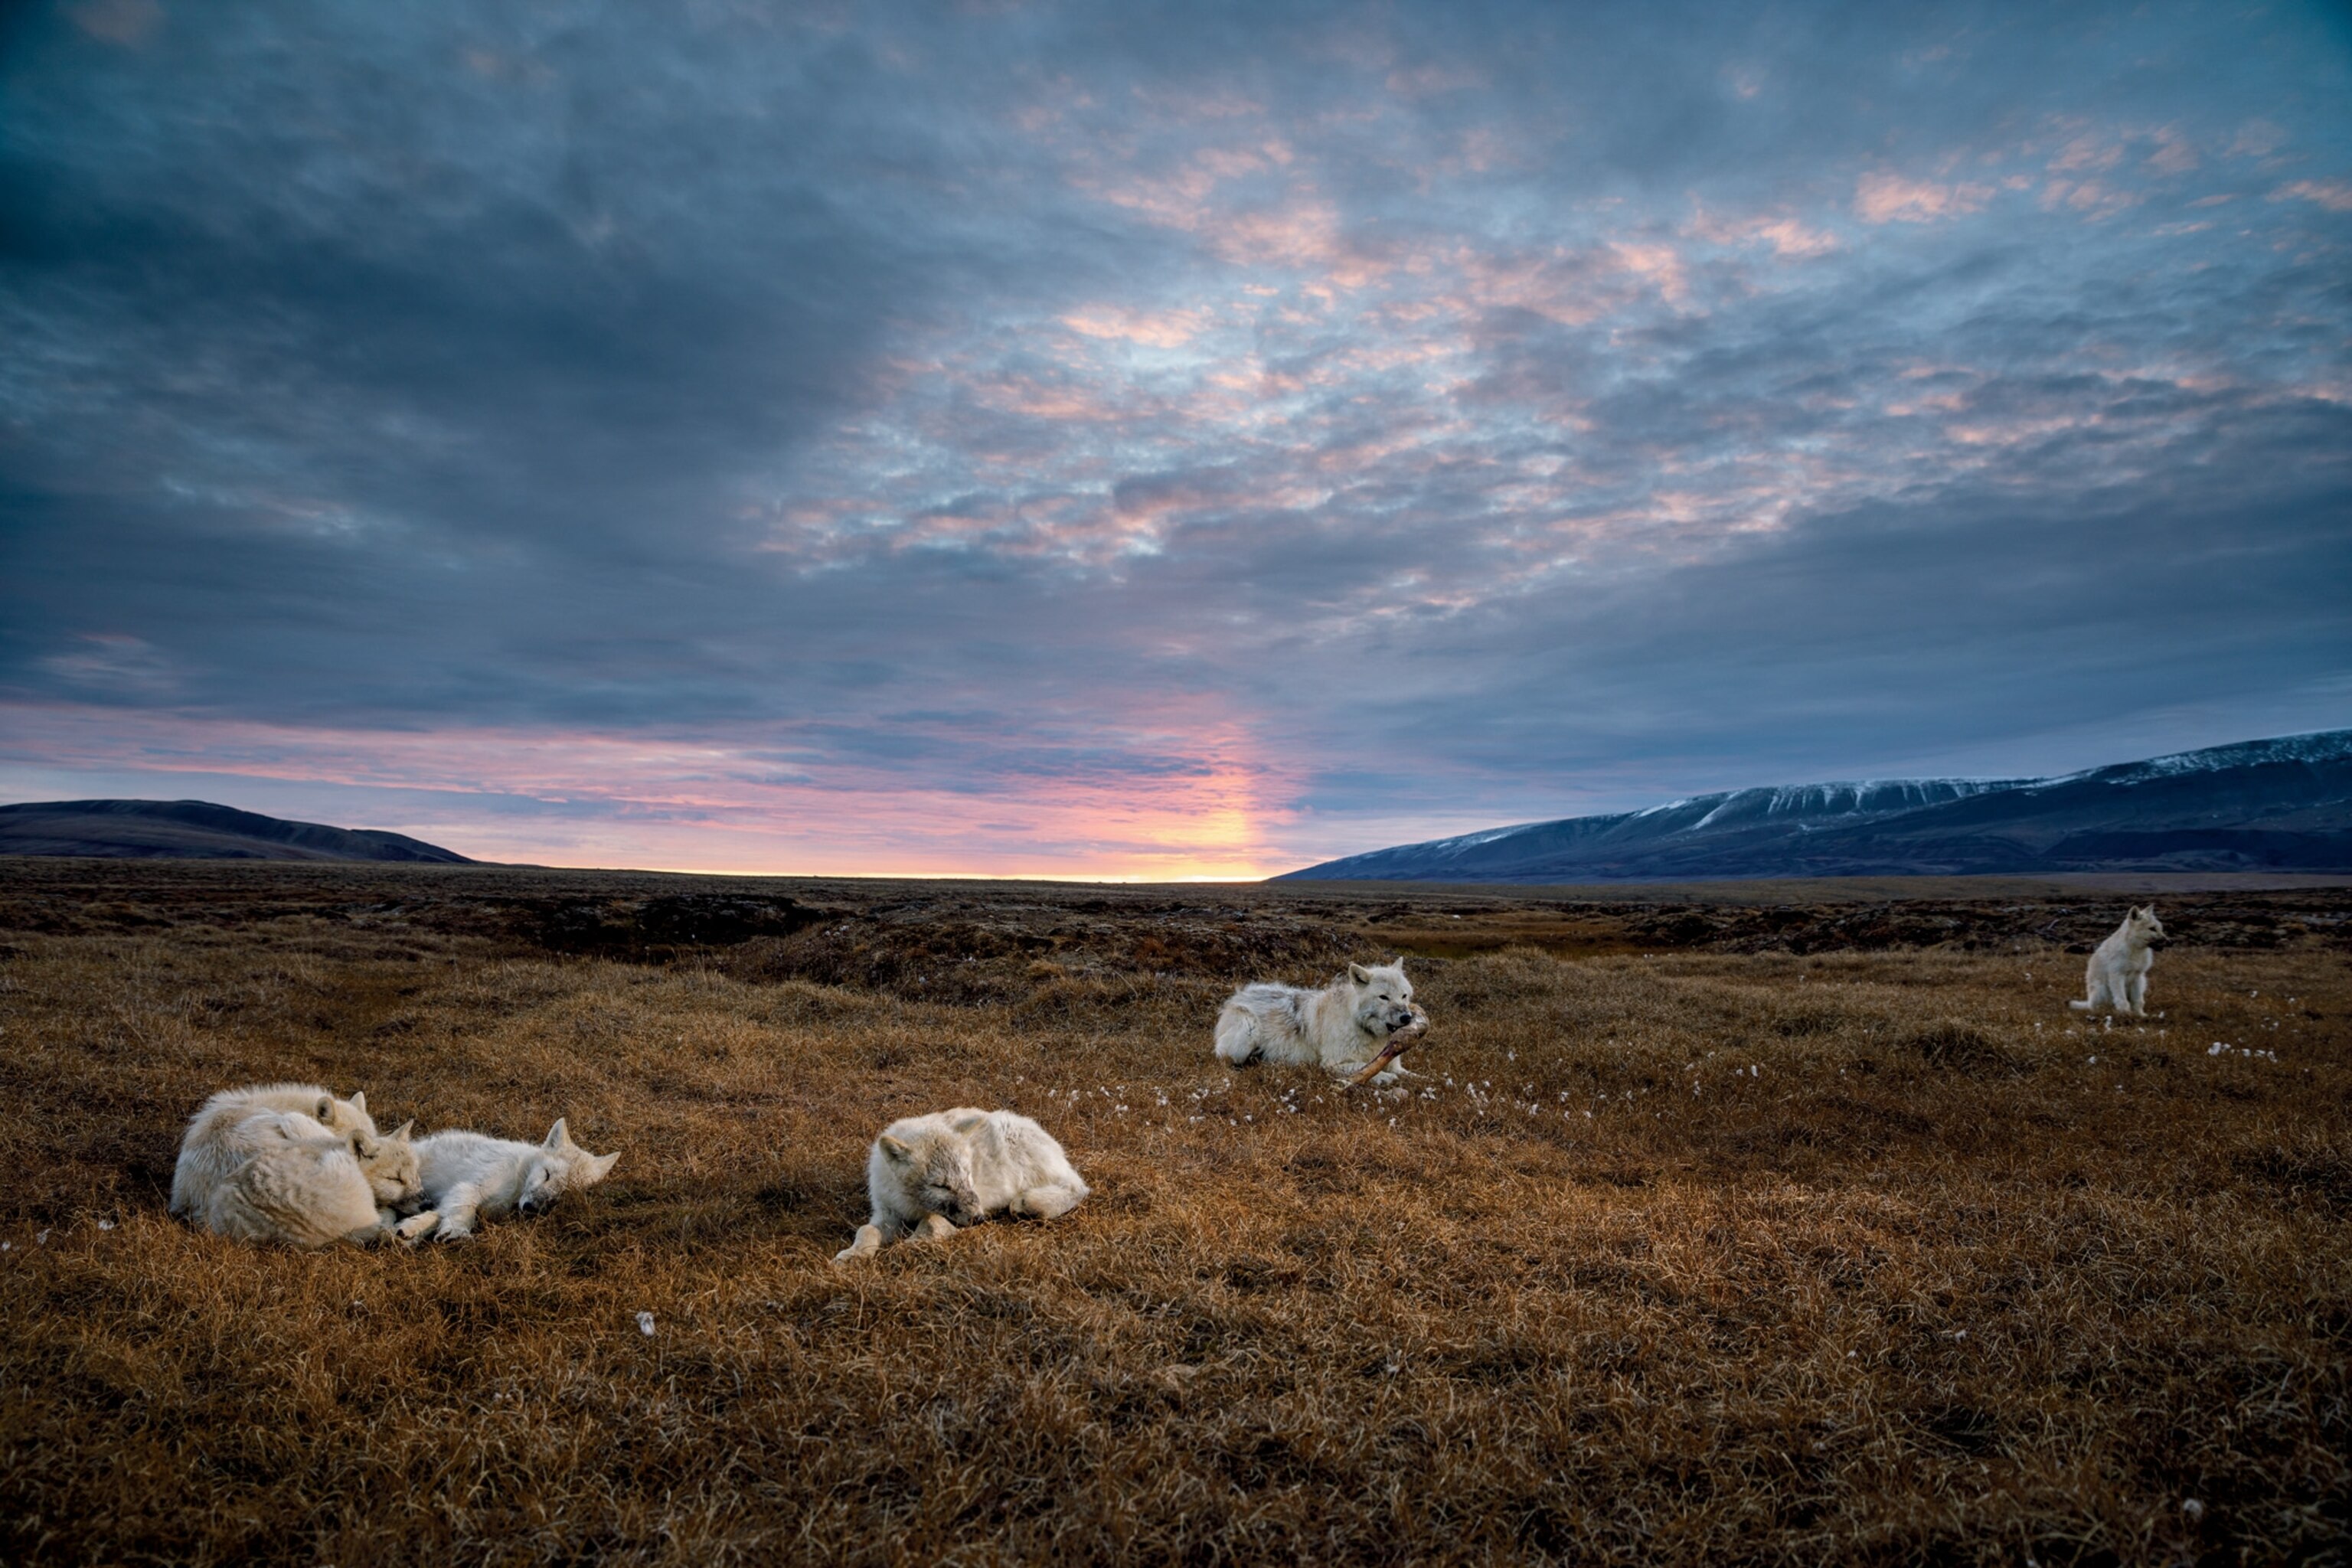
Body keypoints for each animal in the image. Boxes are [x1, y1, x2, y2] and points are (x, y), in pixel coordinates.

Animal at [391, 1119, 621, 1243]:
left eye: (566, 1192)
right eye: (547, 1174)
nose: (530, 1208)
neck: (519, 1174)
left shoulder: (454, 1196)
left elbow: (437, 1214)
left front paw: (410, 1230)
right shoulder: (471, 1187)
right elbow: (465, 1210)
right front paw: (456, 1231)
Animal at [834, 1108, 1087, 1262]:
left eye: (967, 1175)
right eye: (940, 1186)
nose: (980, 1219)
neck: (911, 1204)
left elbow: (931, 1222)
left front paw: (907, 1246)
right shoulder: (887, 1212)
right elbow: (866, 1230)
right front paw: (854, 1255)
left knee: (1078, 1188)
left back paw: (1030, 1204)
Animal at [1214, 958, 1424, 1084]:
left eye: (1404, 996)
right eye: (1384, 997)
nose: (1406, 1018)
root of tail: (1238, 995)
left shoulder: (1396, 1065)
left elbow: (1412, 1075)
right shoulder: (1332, 1064)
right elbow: (1362, 1068)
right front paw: (1384, 1077)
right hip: (1246, 1036)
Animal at [2069, 905, 2164, 1017]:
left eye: (2160, 928)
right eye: (2152, 929)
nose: (2168, 941)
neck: (2135, 950)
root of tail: (2089, 1001)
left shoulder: (2137, 976)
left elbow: (2138, 1001)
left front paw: (2140, 1015)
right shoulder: (2117, 975)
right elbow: (2122, 1000)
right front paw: (2126, 1014)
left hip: (2142, 982)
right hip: (2101, 989)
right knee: (2096, 1007)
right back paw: (2105, 1011)